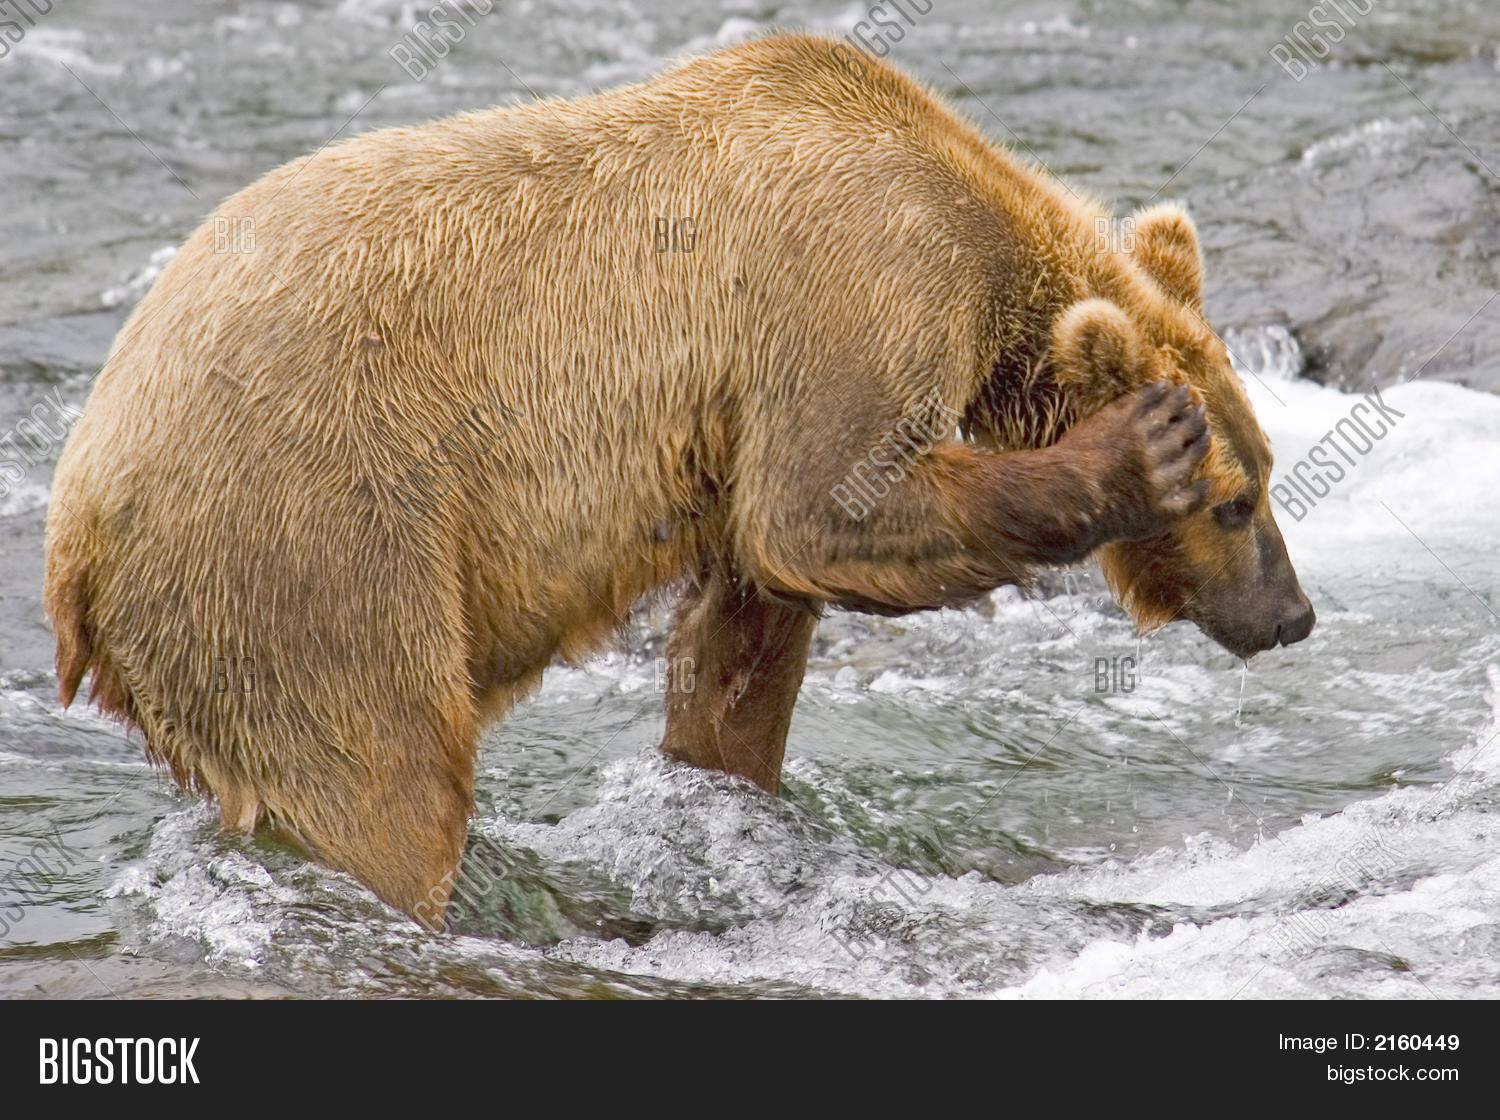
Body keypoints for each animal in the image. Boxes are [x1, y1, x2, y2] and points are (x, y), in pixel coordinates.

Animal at [44, 32, 1313, 927]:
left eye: (1269, 473)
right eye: (1234, 499)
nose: (1293, 614)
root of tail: (74, 518)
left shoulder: (738, 426)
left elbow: (748, 615)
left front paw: (723, 780)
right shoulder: (853, 290)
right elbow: (827, 508)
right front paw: (1134, 447)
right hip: (312, 536)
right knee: (378, 773)